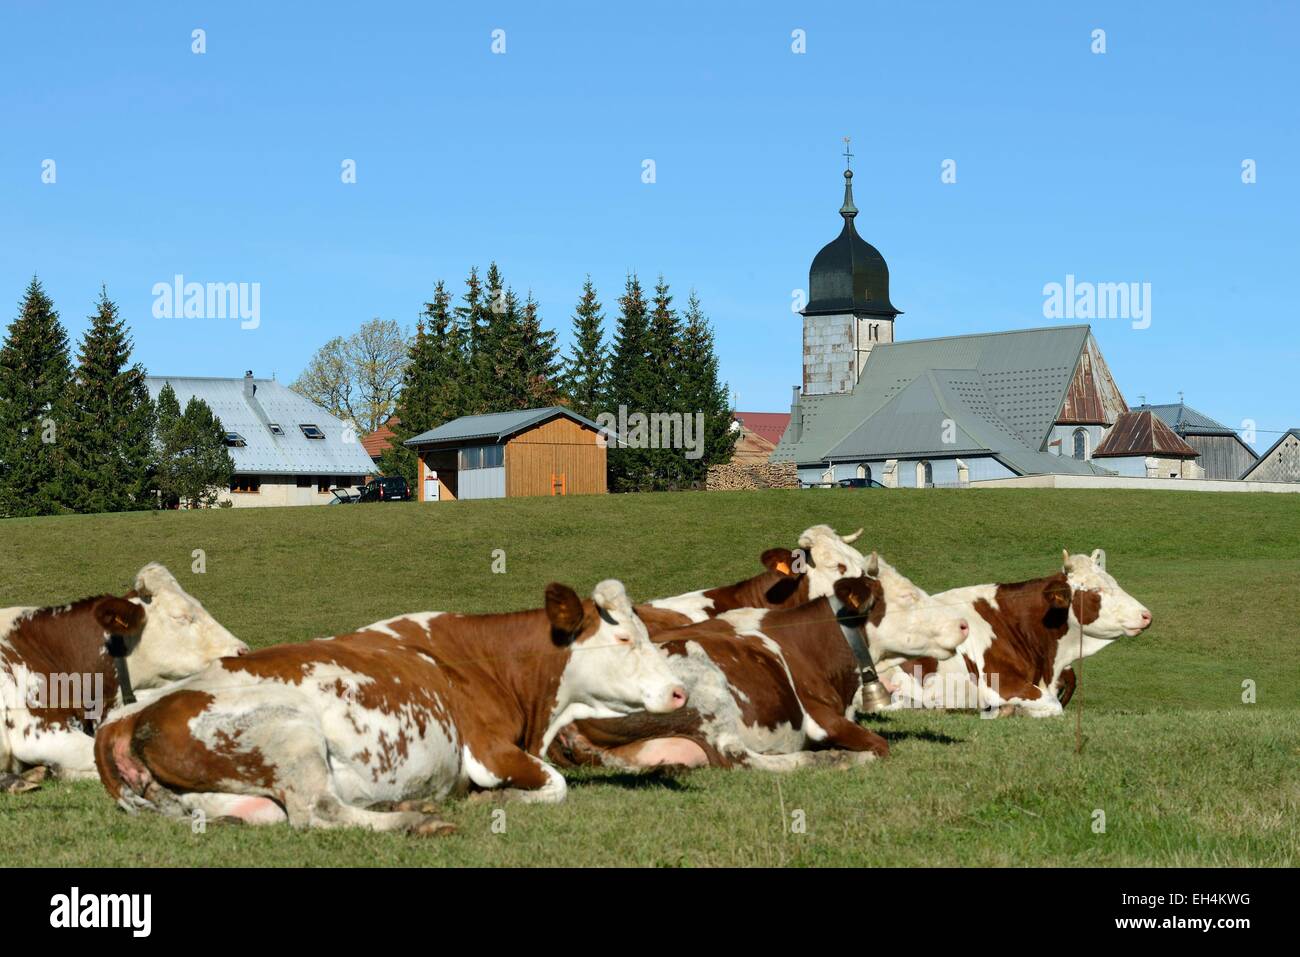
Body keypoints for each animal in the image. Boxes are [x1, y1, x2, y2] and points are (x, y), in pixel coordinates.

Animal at [94, 580, 686, 834]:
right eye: (625, 640)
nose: (680, 690)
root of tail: (126, 720)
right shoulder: (489, 750)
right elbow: (557, 786)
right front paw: (487, 801)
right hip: (292, 735)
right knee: (319, 813)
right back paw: (417, 820)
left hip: (228, 800)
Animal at [553, 556, 971, 772]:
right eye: (907, 597)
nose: (964, 623)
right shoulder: (823, 716)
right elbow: (881, 745)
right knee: (735, 756)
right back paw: (825, 758)